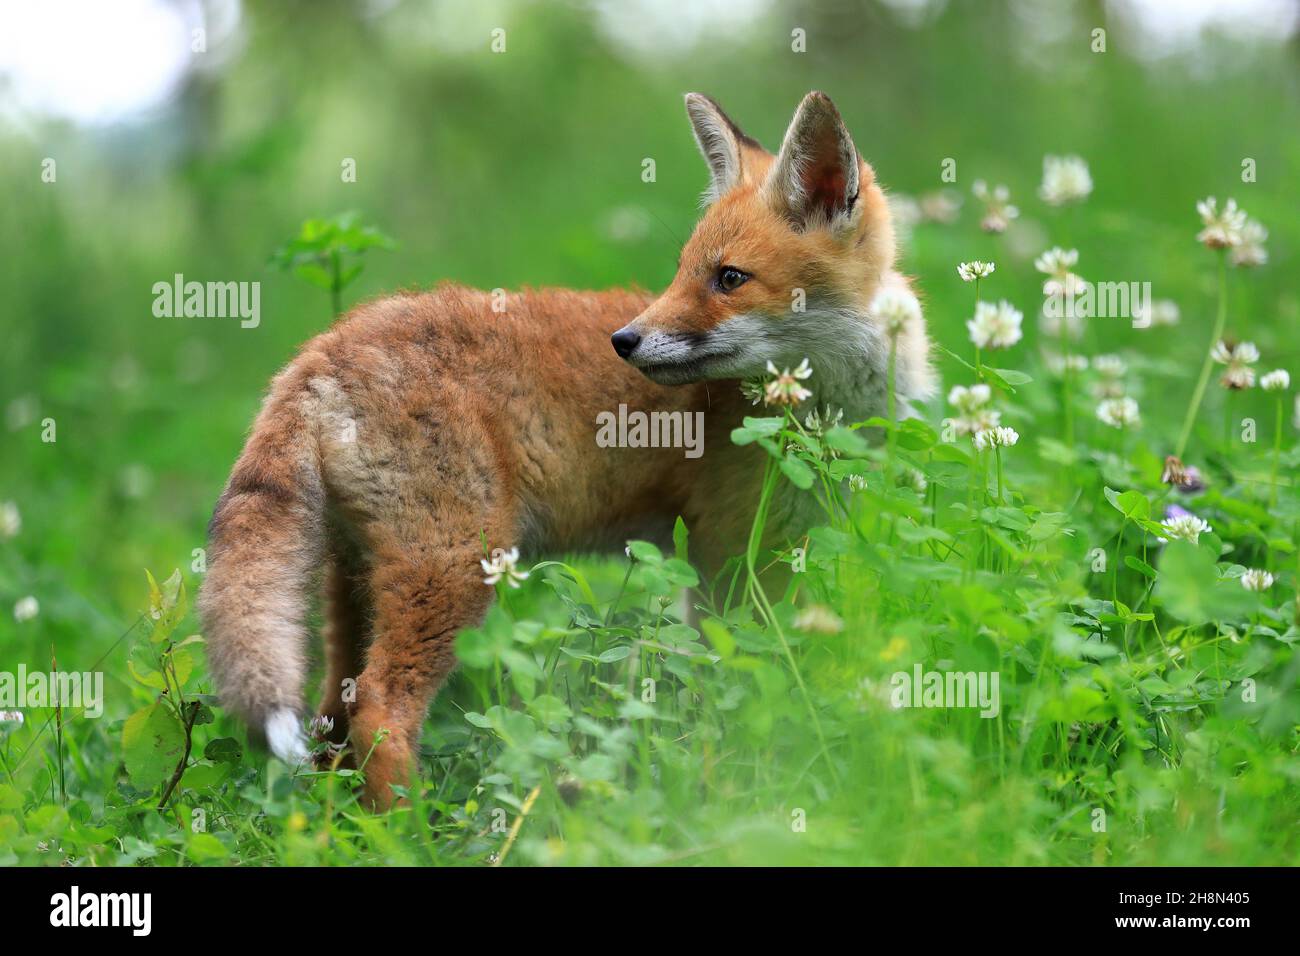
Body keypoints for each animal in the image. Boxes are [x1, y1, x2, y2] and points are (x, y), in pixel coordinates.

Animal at [198, 91, 933, 809]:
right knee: (379, 711)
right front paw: (741, 771)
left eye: (728, 278)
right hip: (455, 568)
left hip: (355, 588)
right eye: (683, 274)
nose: (625, 341)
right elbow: (740, 676)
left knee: (334, 719)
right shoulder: (731, 550)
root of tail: (322, 350)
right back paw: (415, 832)